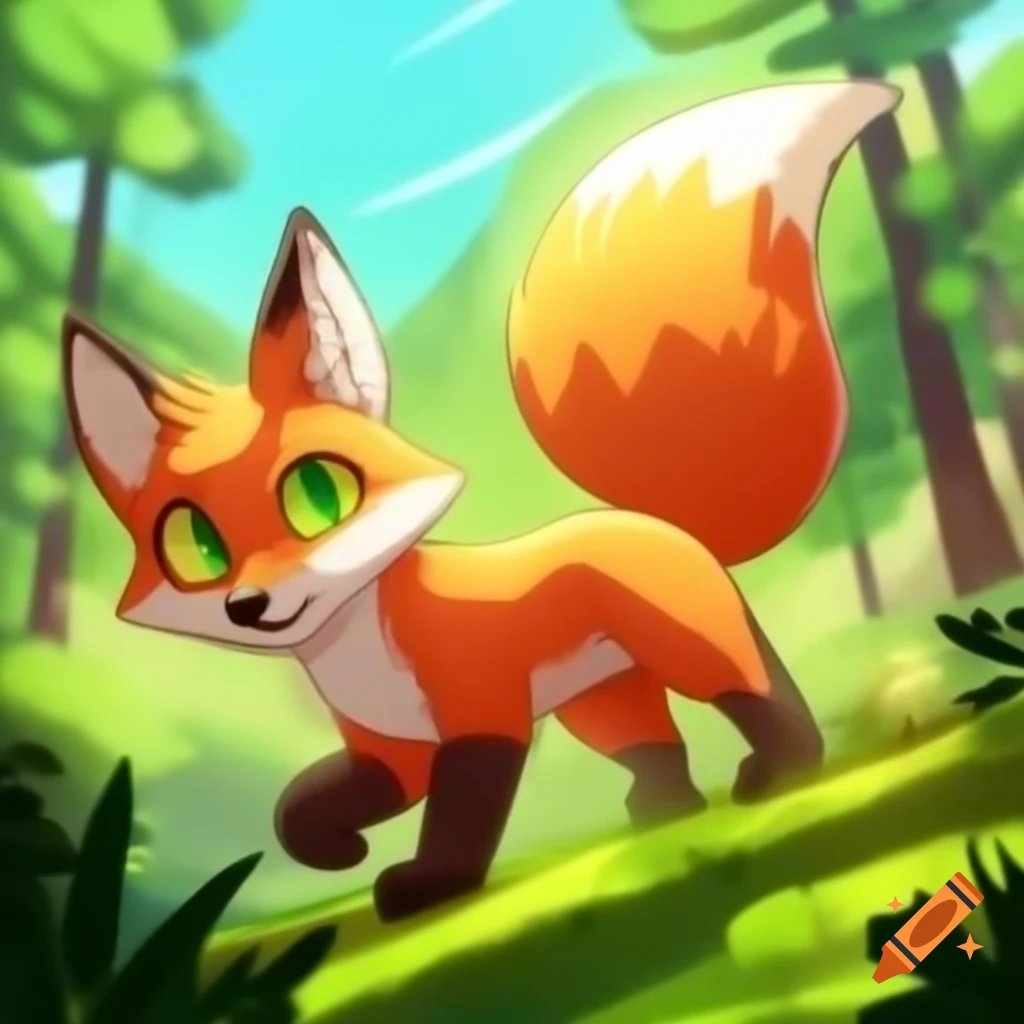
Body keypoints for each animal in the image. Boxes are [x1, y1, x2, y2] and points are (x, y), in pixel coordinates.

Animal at [63, 80, 901, 922]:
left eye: (318, 496)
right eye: (196, 545)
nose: (249, 605)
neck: (359, 648)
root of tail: (648, 517)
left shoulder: (481, 716)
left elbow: (463, 813)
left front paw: (431, 884)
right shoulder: (388, 750)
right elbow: (299, 806)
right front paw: (338, 850)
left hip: (690, 647)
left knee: (757, 692)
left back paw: (782, 769)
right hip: (599, 703)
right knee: (653, 747)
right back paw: (662, 814)